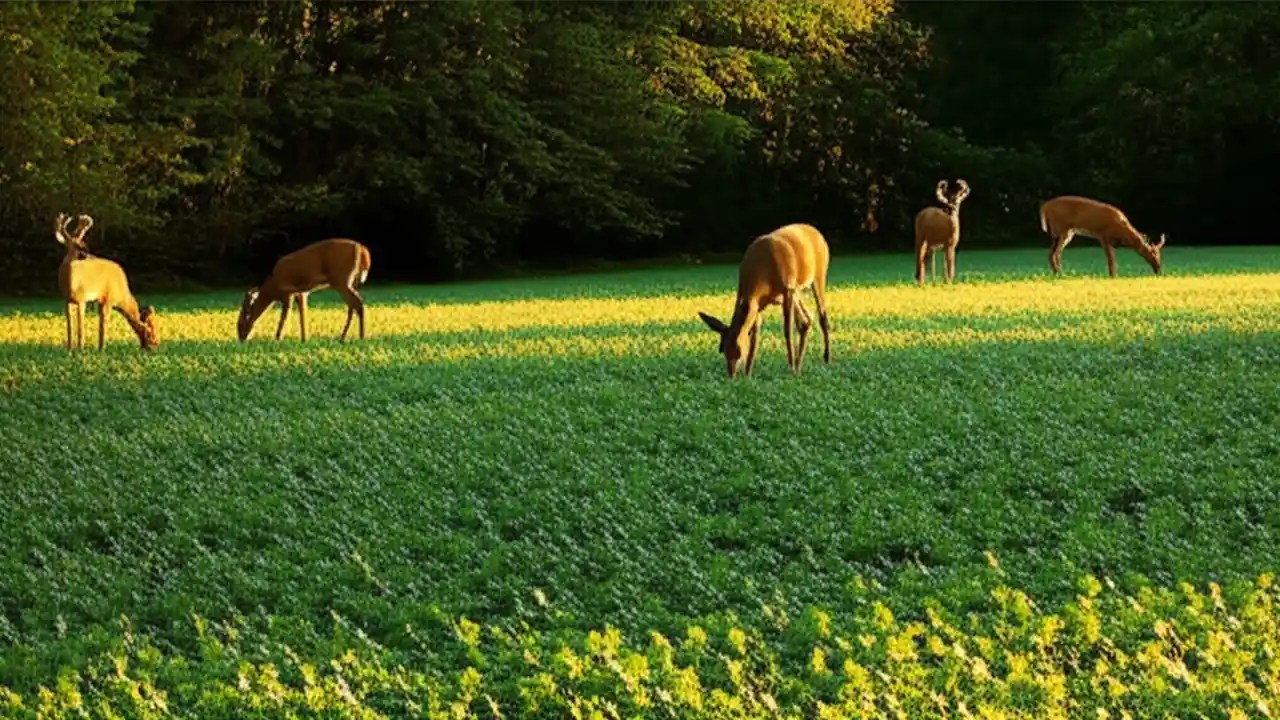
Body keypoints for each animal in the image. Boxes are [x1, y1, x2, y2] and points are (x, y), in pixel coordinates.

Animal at [55, 213, 159, 352]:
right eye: (150, 331)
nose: (156, 345)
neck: (122, 295)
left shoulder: (95, 300)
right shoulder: (108, 299)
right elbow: (103, 323)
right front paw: (101, 348)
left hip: (68, 299)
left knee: (69, 323)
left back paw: (70, 349)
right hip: (81, 297)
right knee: (80, 323)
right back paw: (80, 348)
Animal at [238, 238, 372, 343]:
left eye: (241, 322)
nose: (241, 339)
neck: (273, 286)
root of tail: (361, 249)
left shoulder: (288, 292)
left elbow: (285, 316)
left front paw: (277, 338)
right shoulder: (301, 292)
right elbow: (302, 313)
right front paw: (304, 338)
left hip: (341, 279)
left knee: (357, 303)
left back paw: (359, 337)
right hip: (350, 282)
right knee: (352, 305)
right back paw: (344, 337)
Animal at [697, 223, 832, 378]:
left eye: (739, 351)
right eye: (722, 350)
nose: (731, 376)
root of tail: (815, 231)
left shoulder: (787, 289)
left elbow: (787, 331)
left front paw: (790, 367)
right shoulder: (758, 303)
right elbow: (754, 338)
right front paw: (748, 374)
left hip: (818, 276)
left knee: (821, 316)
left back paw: (825, 359)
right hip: (797, 291)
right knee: (806, 320)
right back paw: (799, 367)